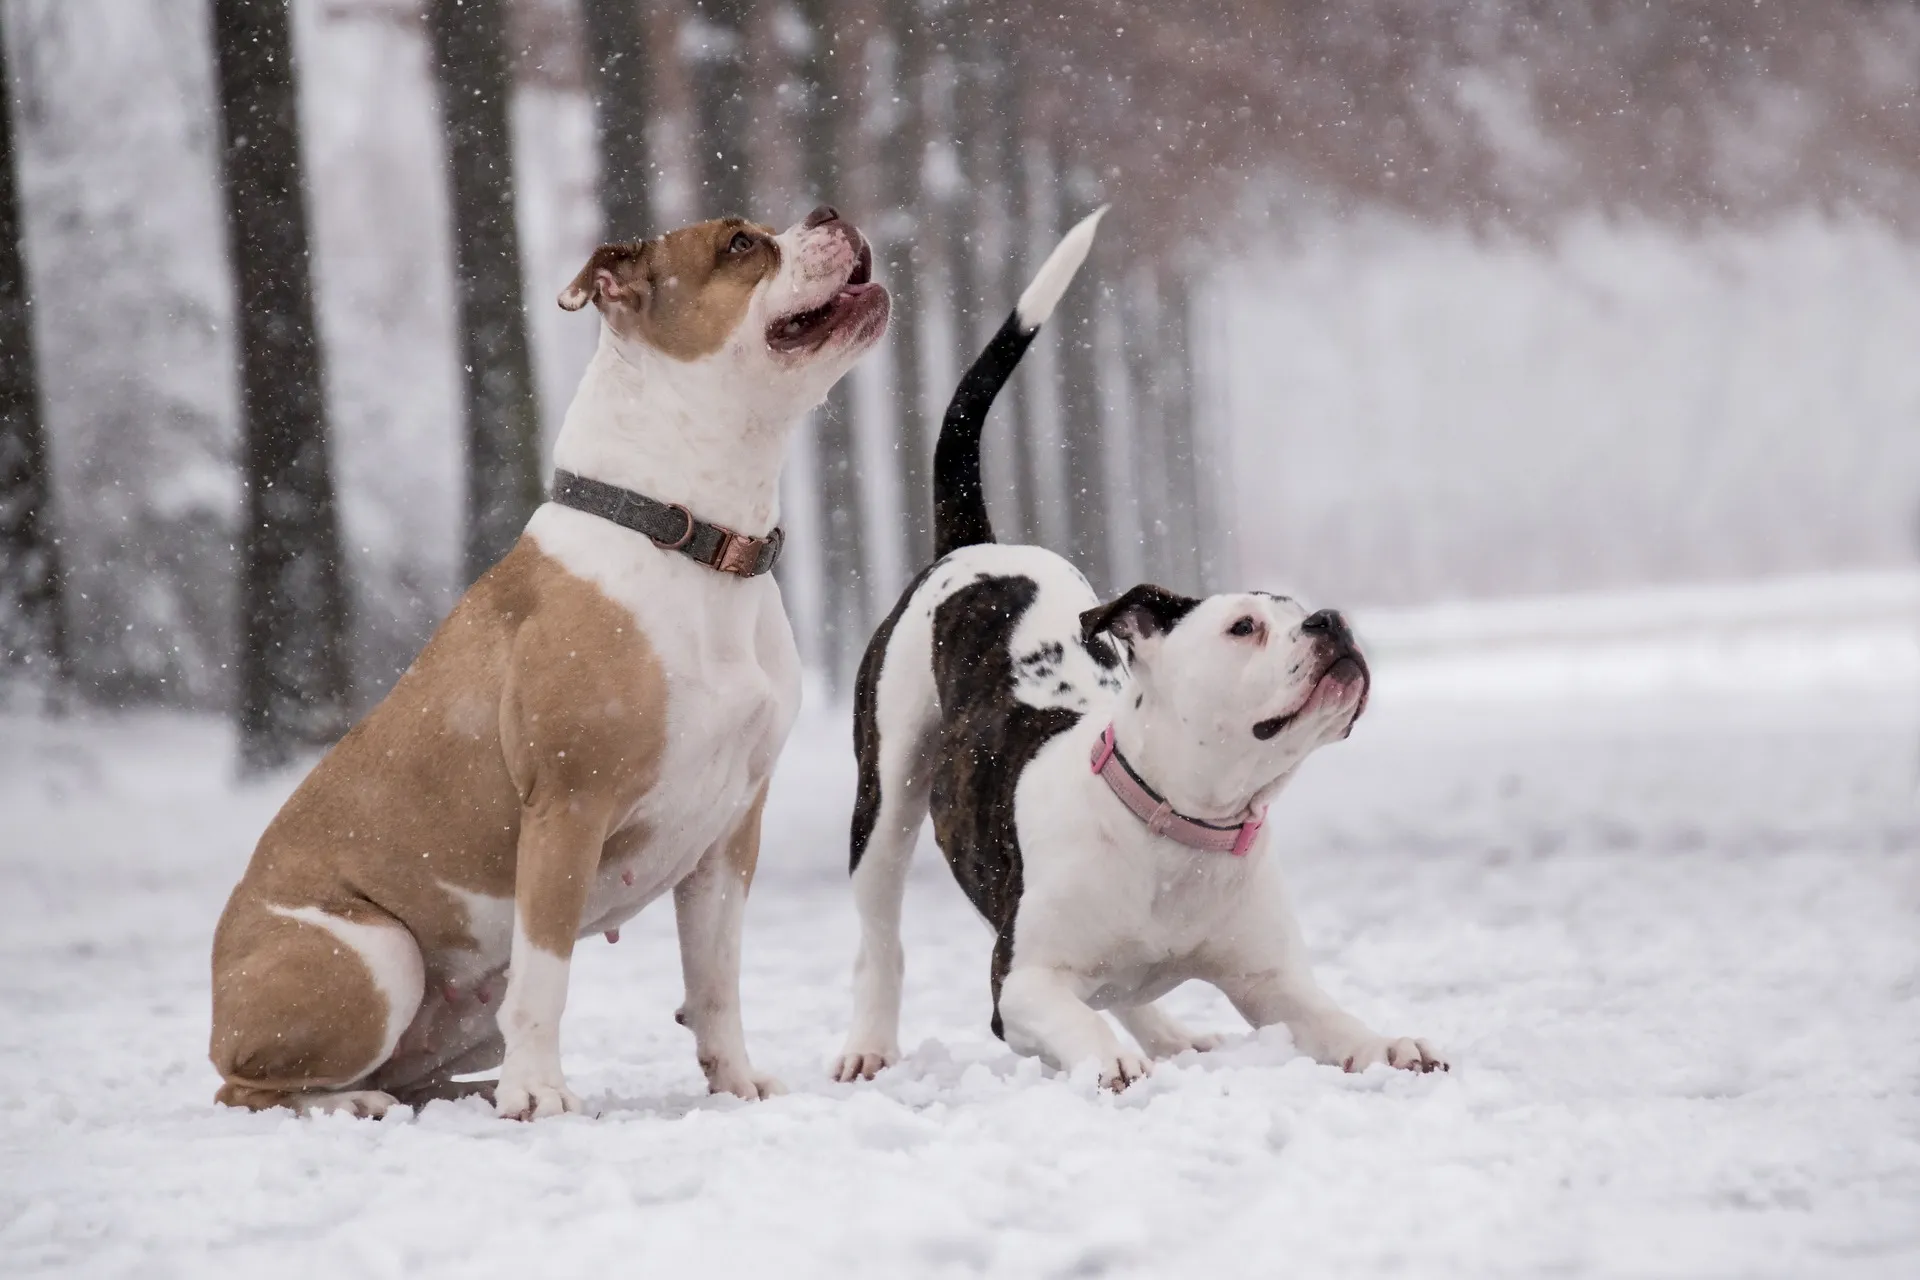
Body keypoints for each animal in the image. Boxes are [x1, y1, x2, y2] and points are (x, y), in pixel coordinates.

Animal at [214, 208, 887, 1120]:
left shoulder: (728, 833)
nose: (828, 214)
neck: (692, 538)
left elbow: (716, 977)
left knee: (415, 1068)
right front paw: (538, 1094)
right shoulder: (567, 808)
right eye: (740, 244)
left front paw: (737, 1080)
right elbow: (547, 976)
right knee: (251, 1086)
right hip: (376, 957)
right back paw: (362, 1103)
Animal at [833, 213, 1443, 1090]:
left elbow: (1333, 1020)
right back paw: (871, 1045)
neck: (1182, 827)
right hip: (884, 798)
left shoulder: (1273, 981)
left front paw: (1389, 1044)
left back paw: (1168, 1032)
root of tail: (975, 544)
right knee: (881, 936)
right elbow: (1070, 1014)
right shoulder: (1020, 983)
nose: (1334, 620)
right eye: (1244, 626)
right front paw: (1109, 1061)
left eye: (1301, 610)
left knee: (1122, 988)